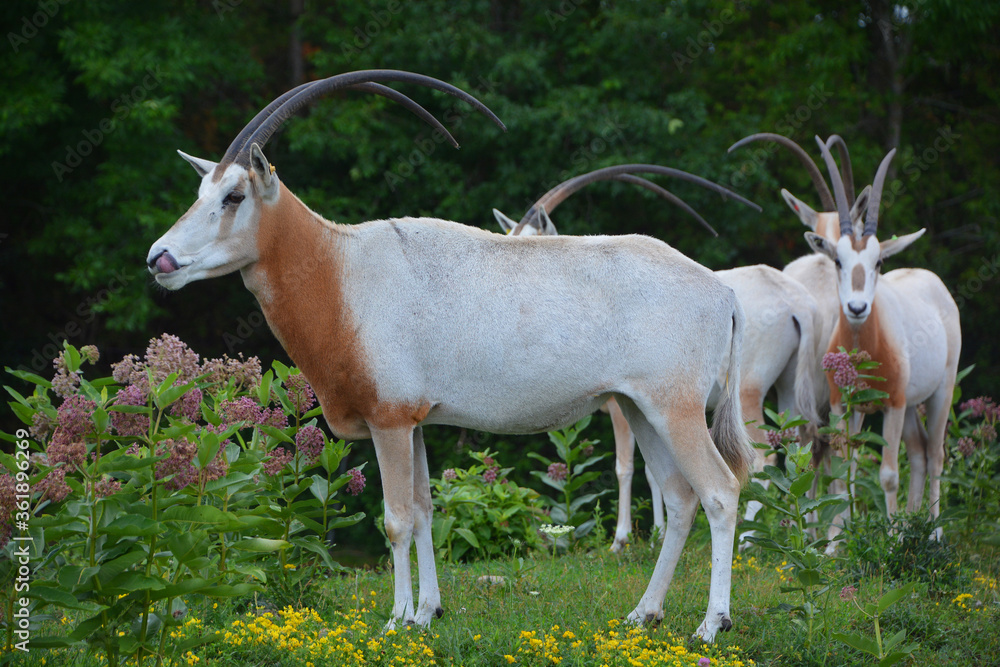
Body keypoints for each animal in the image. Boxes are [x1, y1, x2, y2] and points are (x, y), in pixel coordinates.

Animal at [146, 69, 759, 641]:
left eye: (234, 196)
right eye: (201, 194)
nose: (159, 258)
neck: (341, 267)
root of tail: (721, 291)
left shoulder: (389, 421)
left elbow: (395, 519)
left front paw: (395, 621)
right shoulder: (414, 422)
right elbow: (423, 512)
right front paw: (426, 612)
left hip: (675, 410)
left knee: (720, 491)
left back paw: (711, 625)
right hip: (639, 409)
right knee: (680, 498)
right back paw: (643, 613)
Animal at [493, 165, 822, 552]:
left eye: (532, 238)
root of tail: (795, 301)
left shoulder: (622, 405)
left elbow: (626, 466)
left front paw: (622, 539)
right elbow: (653, 470)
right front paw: (658, 534)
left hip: (748, 393)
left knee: (763, 459)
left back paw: (749, 540)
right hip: (788, 390)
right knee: (806, 450)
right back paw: (803, 533)